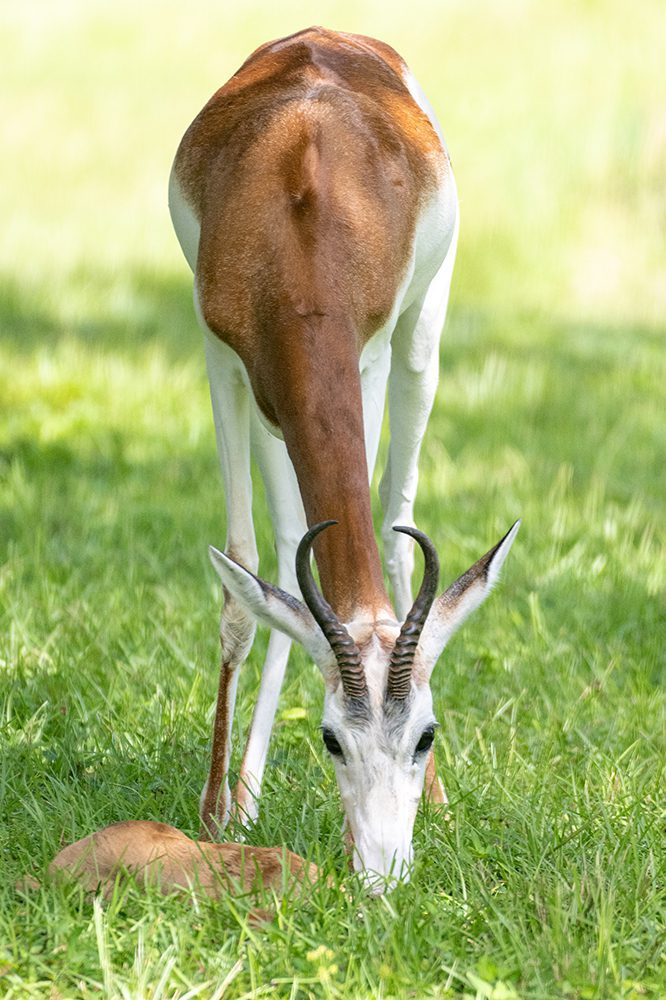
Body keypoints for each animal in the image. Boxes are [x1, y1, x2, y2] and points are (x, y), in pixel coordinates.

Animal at [168, 27, 519, 893]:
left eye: (426, 732)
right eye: (330, 738)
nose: (384, 876)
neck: (302, 233)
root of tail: (328, 35)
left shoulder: (366, 354)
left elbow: (367, 536)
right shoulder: (223, 361)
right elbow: (246, 577)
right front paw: (219, 814)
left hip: (420, 339)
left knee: (396, 513)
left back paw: (444, 806)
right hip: (272, 411)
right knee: (289, 540)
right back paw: (248, 796)